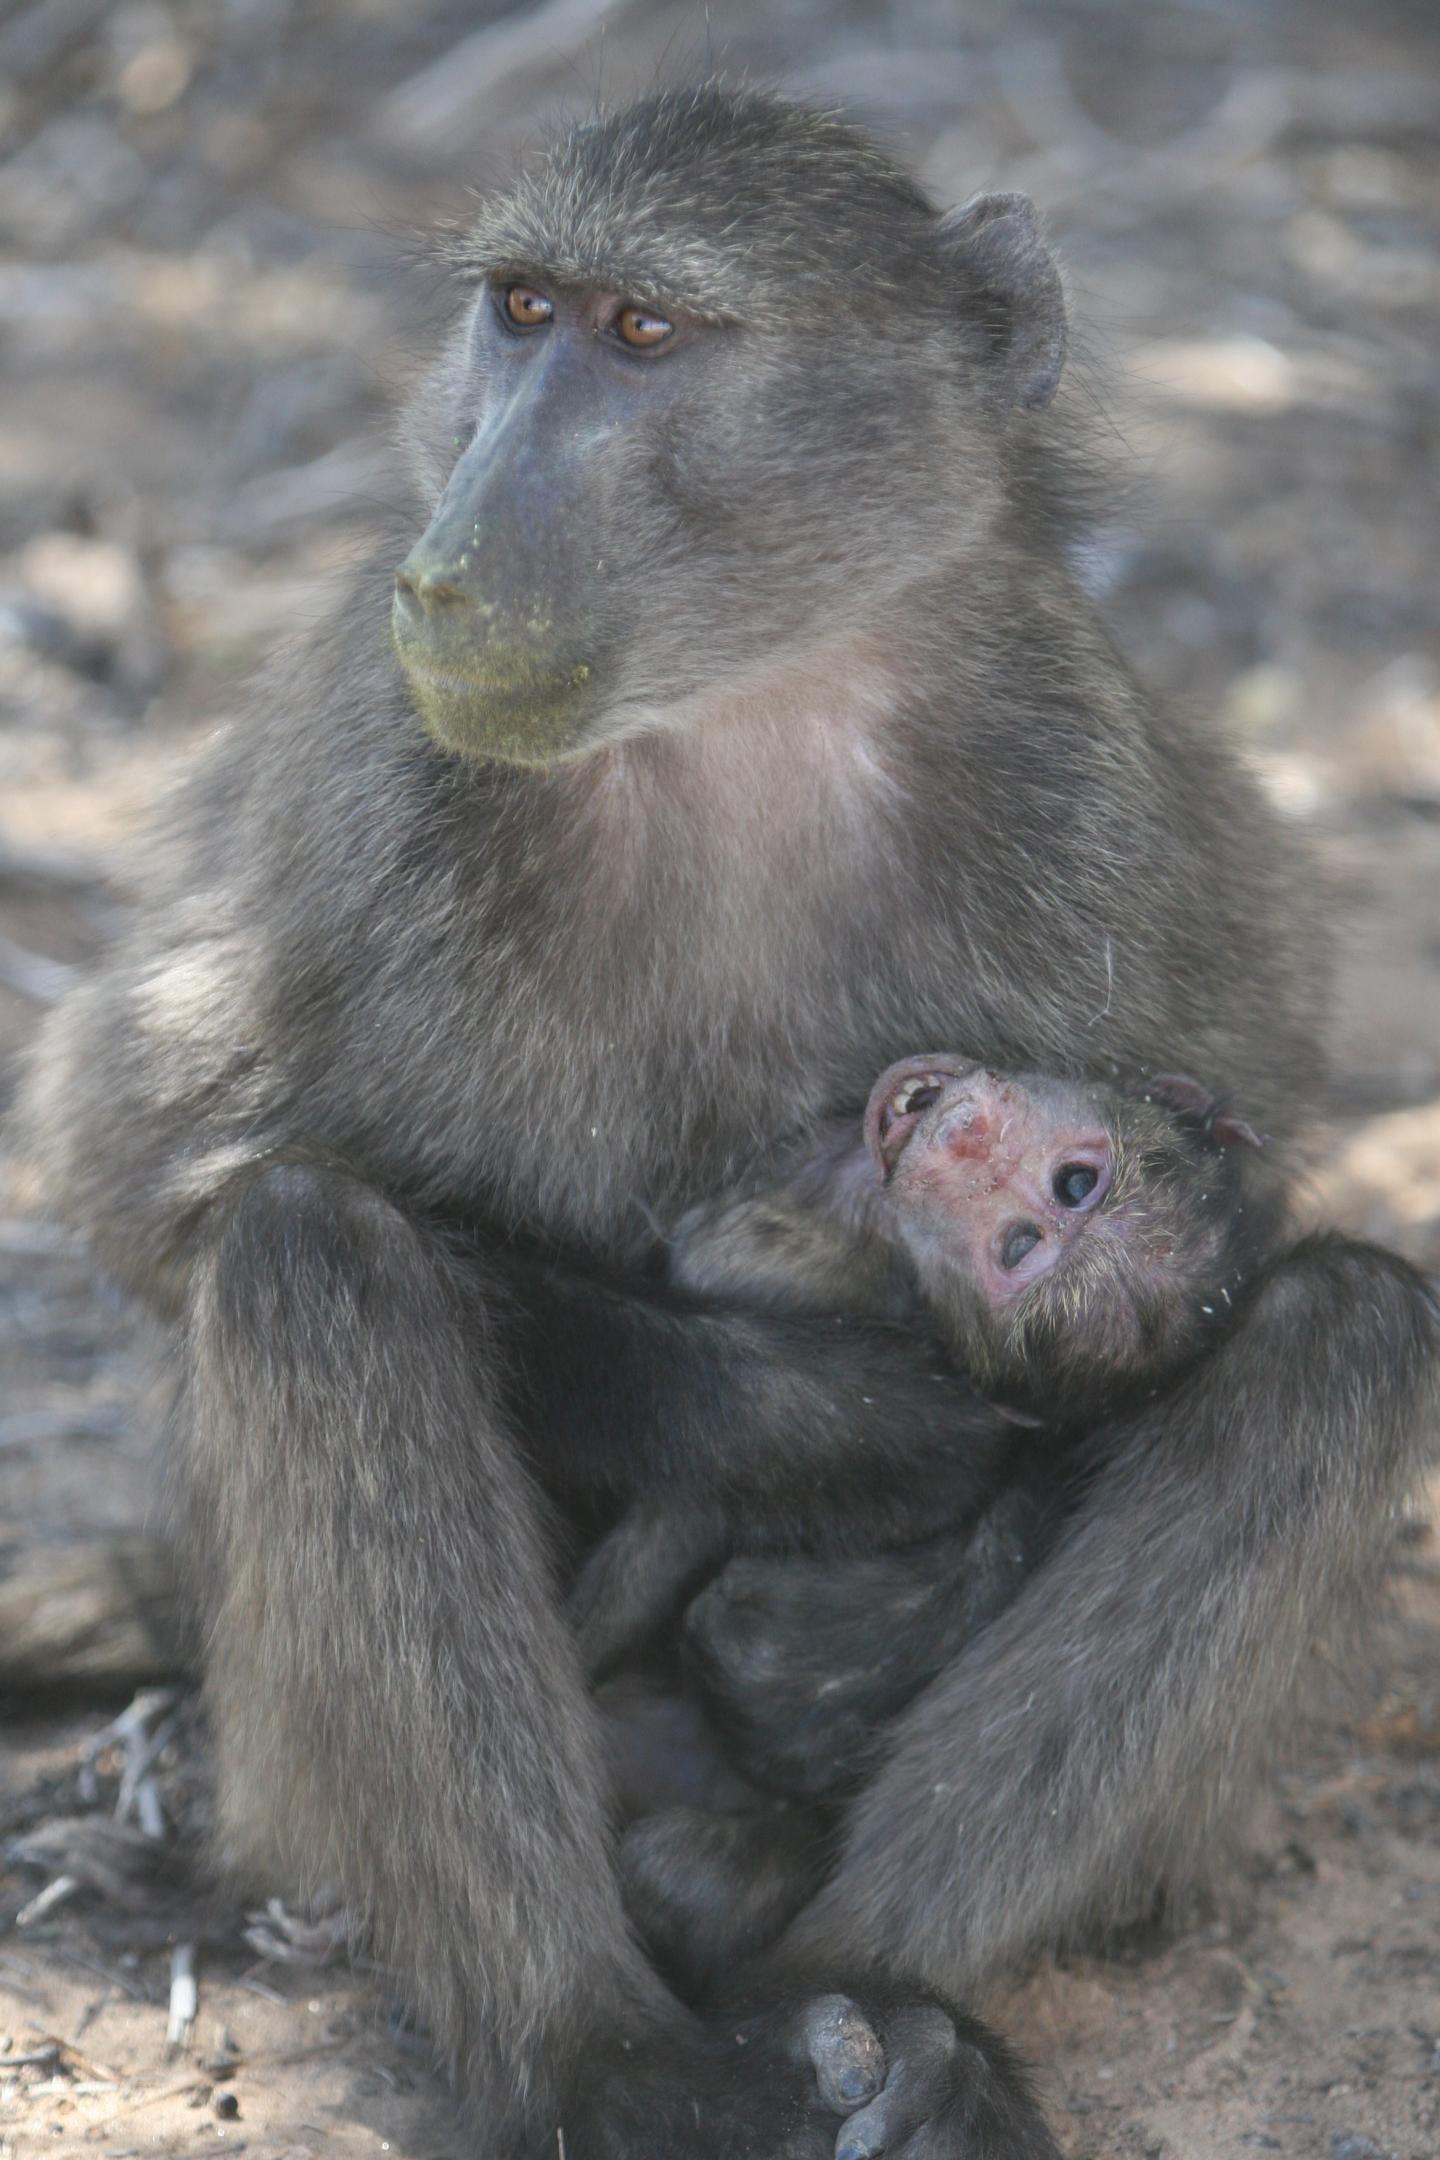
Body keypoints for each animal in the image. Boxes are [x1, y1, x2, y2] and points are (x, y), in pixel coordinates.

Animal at [21, 85, 1437, 2160]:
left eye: (644, 336)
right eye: (522, 310)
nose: (449, 570)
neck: (748, 709)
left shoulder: (1100, 798)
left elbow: (1236, 1190)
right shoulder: (372, 788)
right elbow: (146, 1183)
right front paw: (858, 1432)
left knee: (1345, 1334)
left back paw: (882, 2009)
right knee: (310, 1258)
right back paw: (603, 2059)